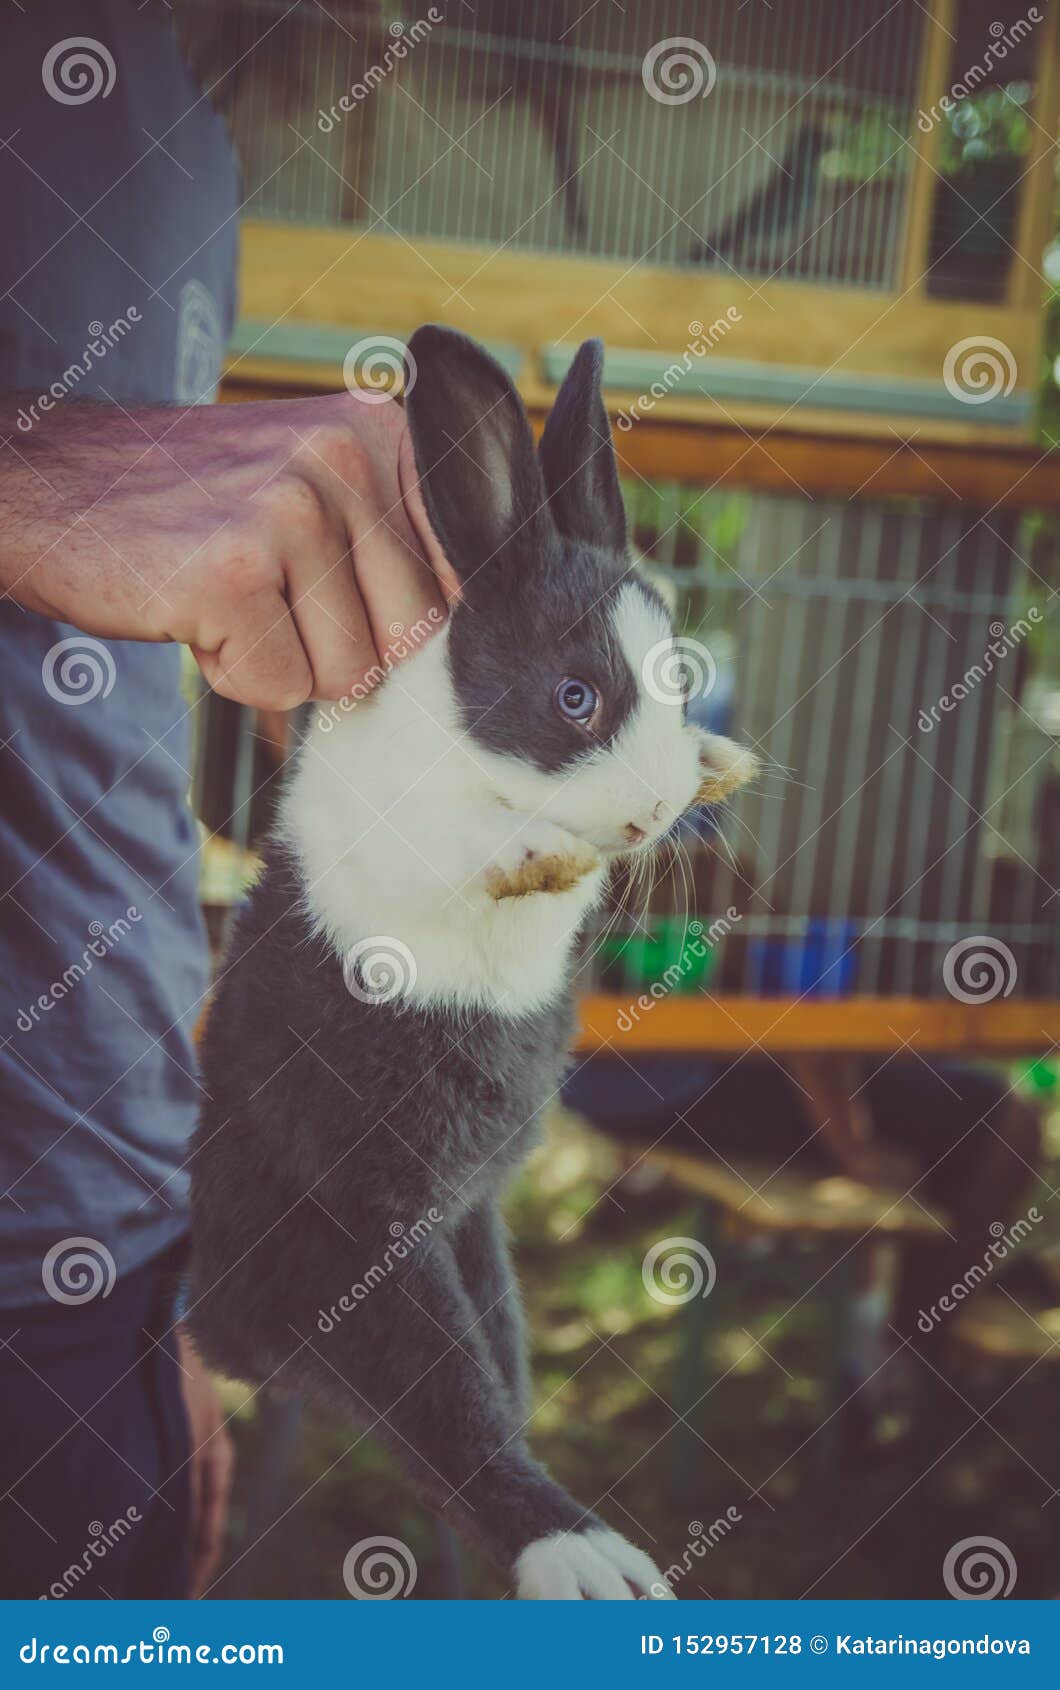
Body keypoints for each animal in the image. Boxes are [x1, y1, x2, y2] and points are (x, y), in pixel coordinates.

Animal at [188, 326, 757, 1599]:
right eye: (575, 695)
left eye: (680, 684)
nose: (654, 811)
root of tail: (217, 1317)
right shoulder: (404, 832)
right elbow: (461, 850)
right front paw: (532, 853)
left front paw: (720, 764)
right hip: (362, 1252)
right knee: (452, 1418)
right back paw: (587, 1560)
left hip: (471, 1244)